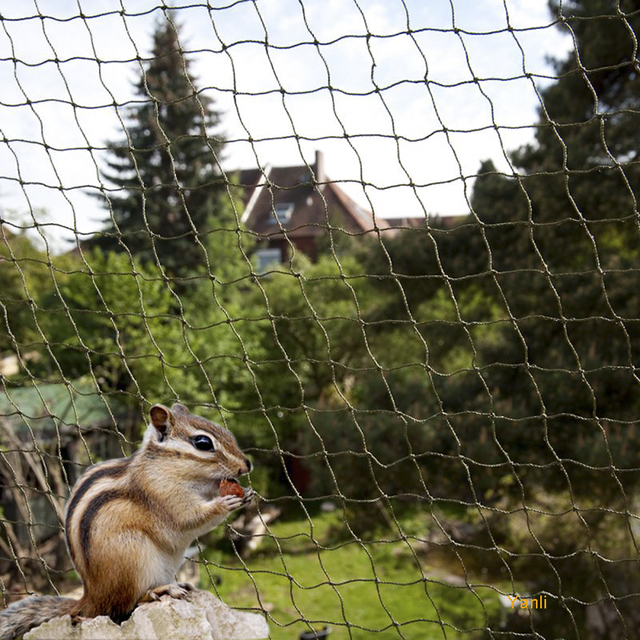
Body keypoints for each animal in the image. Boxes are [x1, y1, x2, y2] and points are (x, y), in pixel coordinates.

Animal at [1, 402, 254, 640]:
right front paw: (225, 503)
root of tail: (92, 597)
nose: (247, 464)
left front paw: (248, 494)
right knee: (127, 604)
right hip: (132, 556)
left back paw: (178, 584)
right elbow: (188, 519)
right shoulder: (164, 497)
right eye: (203, 443)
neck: (165, 467)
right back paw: (159, 591)